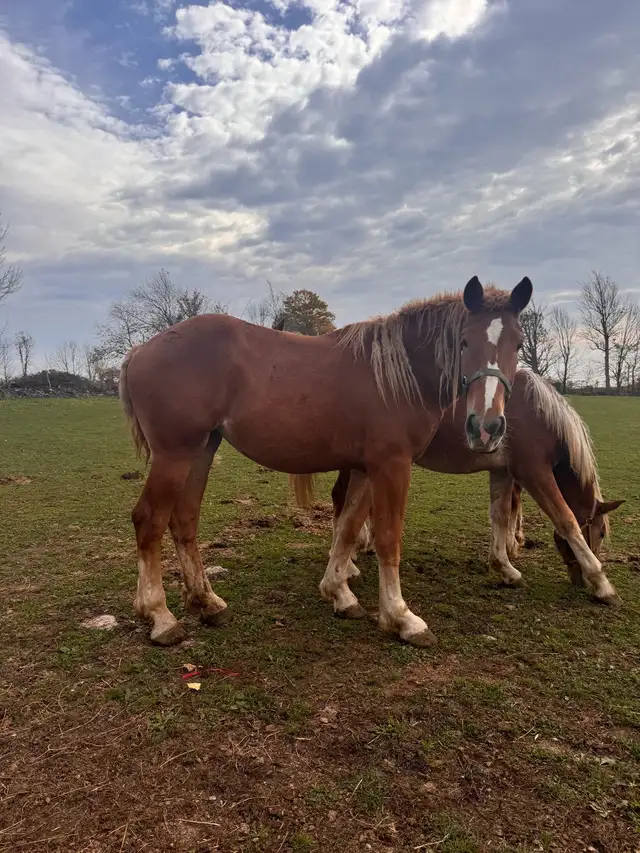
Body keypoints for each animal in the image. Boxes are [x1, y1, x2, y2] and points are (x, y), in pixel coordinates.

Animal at [119, 276, 532, 648]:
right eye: (464, 341)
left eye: (518, 343)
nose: (486, 427)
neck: (399, 375)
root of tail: (140, 350)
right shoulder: (392, 466)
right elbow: (387, 538)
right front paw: (402, 618)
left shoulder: (365, 468)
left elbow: (348, 527)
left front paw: (340, 594)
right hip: (175, 454)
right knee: (149, 520)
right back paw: (160, 616)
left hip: (202, 449)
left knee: (184, 519)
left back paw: (207, 602)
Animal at [290, 370, 623, 616]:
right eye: (601, 534)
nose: (579, 580)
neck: (535, 412)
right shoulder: (534, 472)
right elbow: (566, 520)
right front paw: (602, 583)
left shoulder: (503, 472)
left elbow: (501, 516)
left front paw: (505, 567)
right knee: (341, 501)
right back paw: (348, 565)